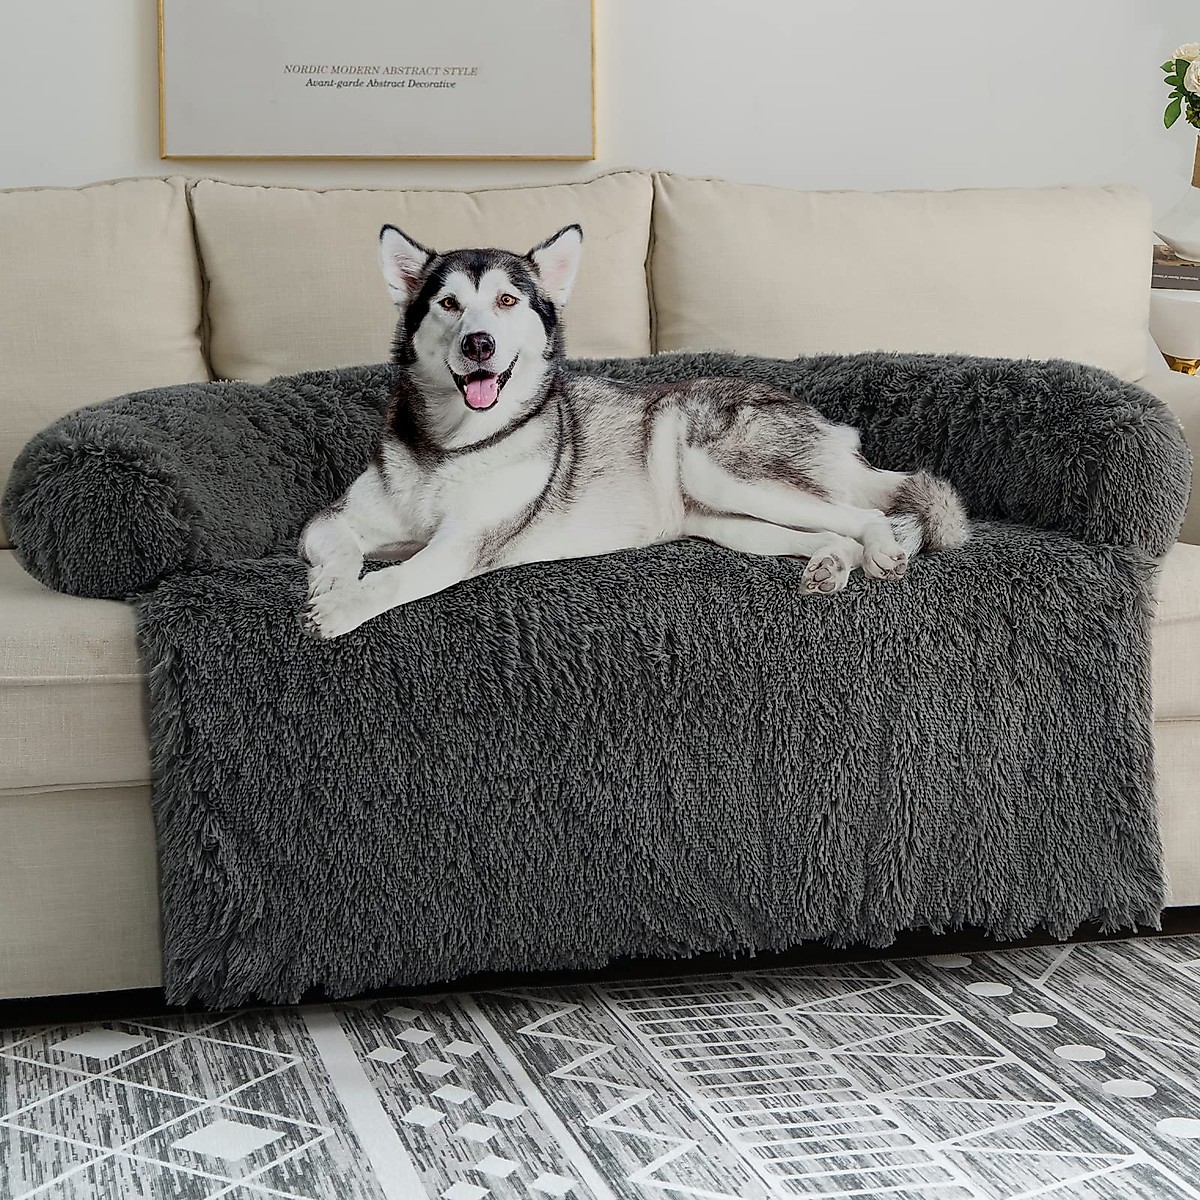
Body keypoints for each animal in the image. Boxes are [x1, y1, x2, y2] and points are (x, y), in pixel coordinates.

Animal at [300, 223, 968, 639]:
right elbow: (340, 544)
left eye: (508, 301)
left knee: (866, 517)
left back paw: (880, 547)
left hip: (721, 471)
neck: (451, 446)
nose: (479, 343)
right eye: (449, 304)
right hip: (728, 523)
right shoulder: (329, 521)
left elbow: (397, 576)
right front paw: (330, 582)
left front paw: (342, 606)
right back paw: (832, 563)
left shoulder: (461, 546)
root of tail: (824, 420)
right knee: (832, 532)